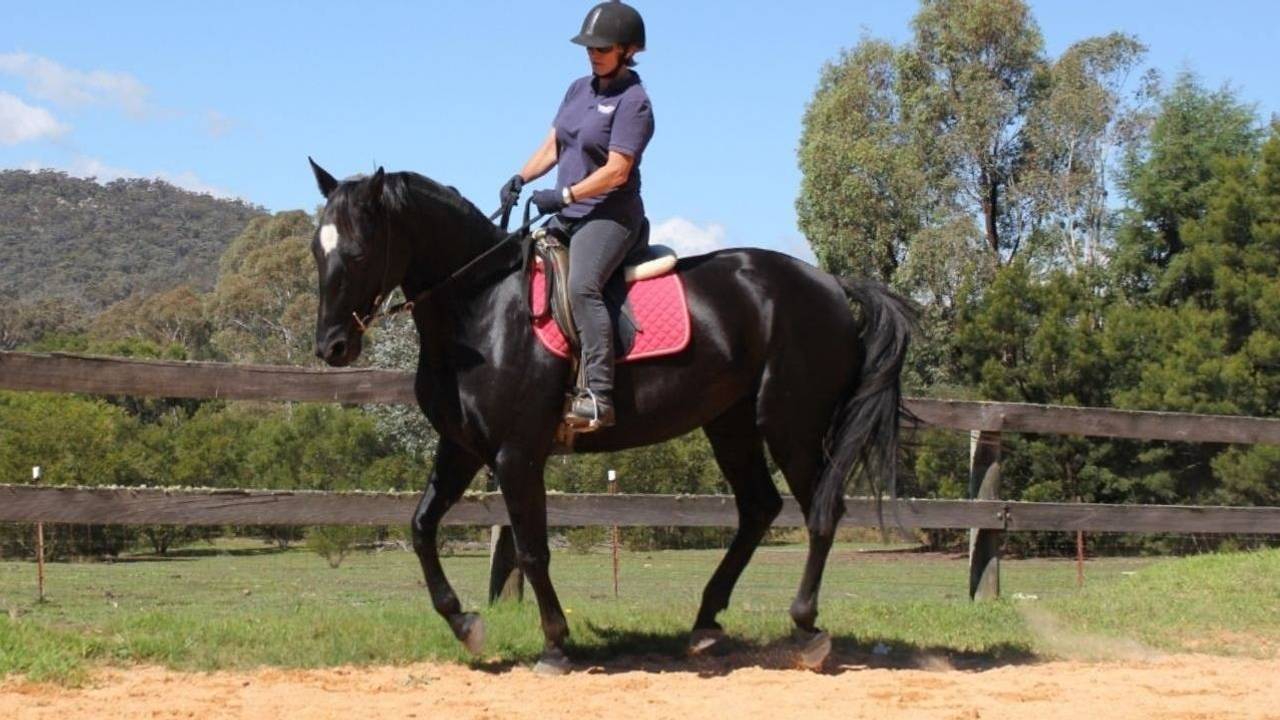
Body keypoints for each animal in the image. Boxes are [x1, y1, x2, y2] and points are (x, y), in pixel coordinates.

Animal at [306, 160, 914, 674]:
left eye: (359, 251)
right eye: (318, 250)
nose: (331, 346)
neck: (482, 309)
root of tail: (830, 284)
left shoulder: (515, 455)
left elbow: (532, 550)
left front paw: (554, 644)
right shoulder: (462, 449)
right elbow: (421, 526)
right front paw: (466, 625)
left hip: (790, 423)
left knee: (821, 512)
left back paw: (806, 628)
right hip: (731, 422)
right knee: (759, 508)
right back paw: (705, 625)